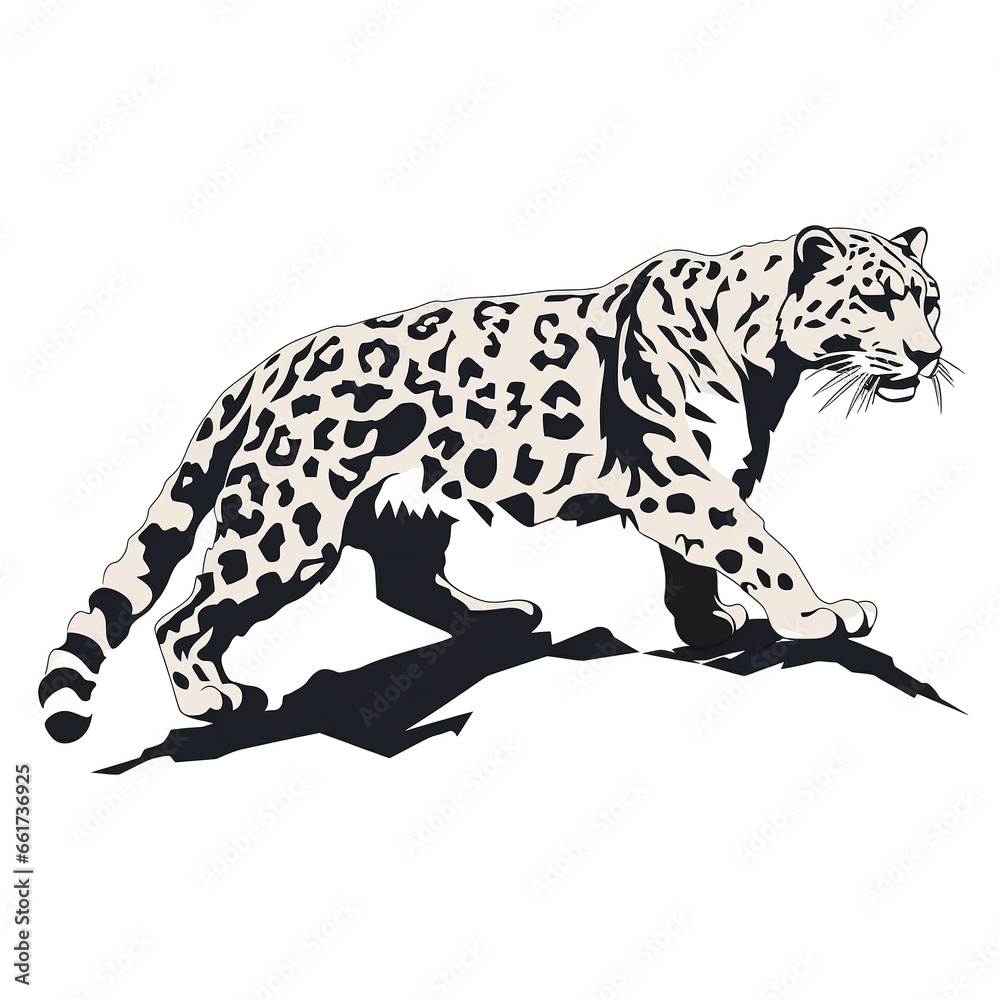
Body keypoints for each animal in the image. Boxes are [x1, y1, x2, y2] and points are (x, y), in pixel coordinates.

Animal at [39, 224, 952, 743]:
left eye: (930, 300)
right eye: (875, 300)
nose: (930, 354)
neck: (764, 361)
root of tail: (262, 369)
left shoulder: (701, 479)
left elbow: (696, 567)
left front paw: (710, 624)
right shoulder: (682, 480)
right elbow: (760, 546)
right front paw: (819, 615)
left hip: (406, 510)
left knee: (404, 582)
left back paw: (501, 615)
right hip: (287, 526)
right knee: (187, 613)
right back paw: (211, 699)